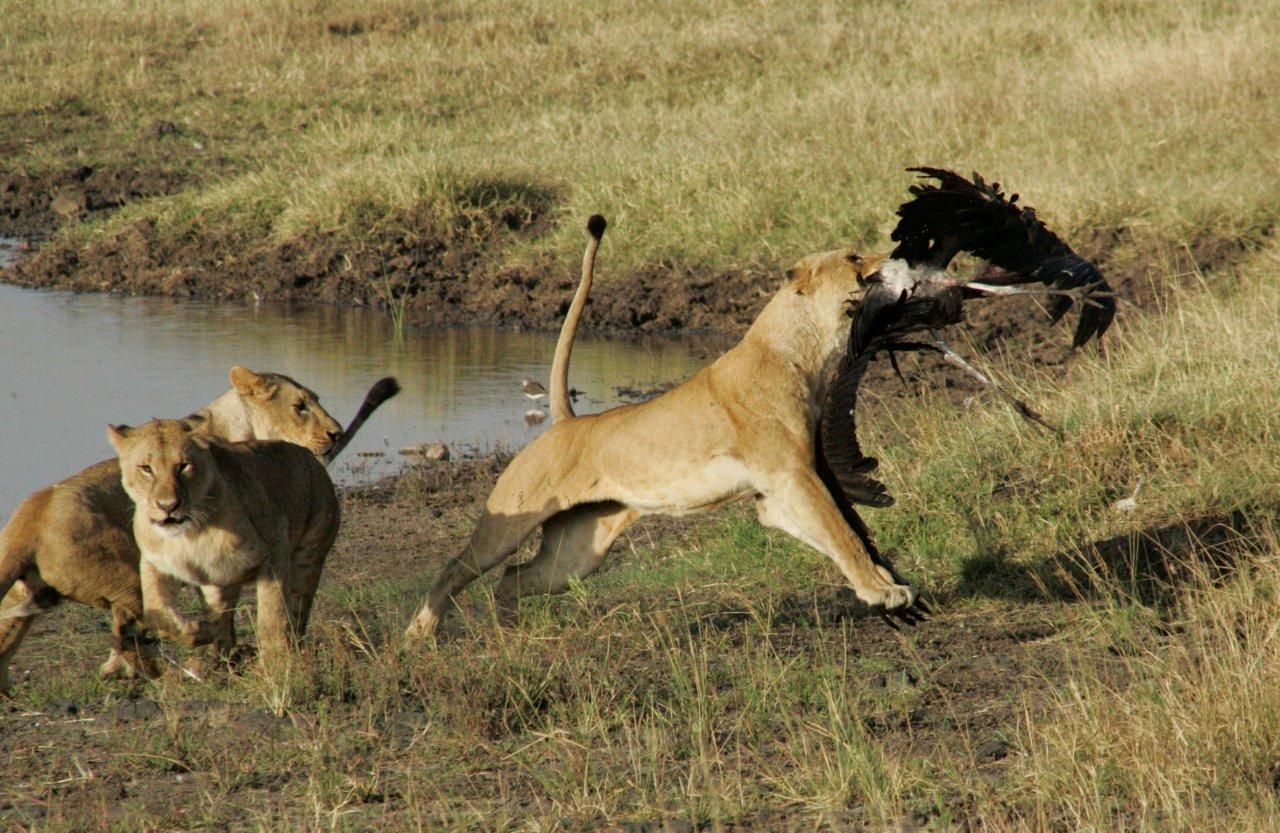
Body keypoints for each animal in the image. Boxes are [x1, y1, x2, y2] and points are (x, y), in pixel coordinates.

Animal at [108, 416, 341, 665]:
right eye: (146, 469)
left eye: (183, 466)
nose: (168, 506)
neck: (189, 535)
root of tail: (307, 456)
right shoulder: (156, 562)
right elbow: (156, 613)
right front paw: (200, 631)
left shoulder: (275, 548)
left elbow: (272, 616)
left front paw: (275, 662)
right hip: (217, 582)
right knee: (222, 620)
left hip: (308, 557)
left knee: (297, 612)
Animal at [403, 218, 918, 641]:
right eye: (854, 258)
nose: (897, 261)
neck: (805, 350)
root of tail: (568, 423)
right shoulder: (794, 475)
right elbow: (843, 533)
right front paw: (883, 591)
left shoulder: (775, 494)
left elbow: (843, 536)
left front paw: (887, 585)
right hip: (508, 522)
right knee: (456, 567)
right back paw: (420, 633)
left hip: (576, 555)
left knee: (511, 579)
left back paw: (511, 629)